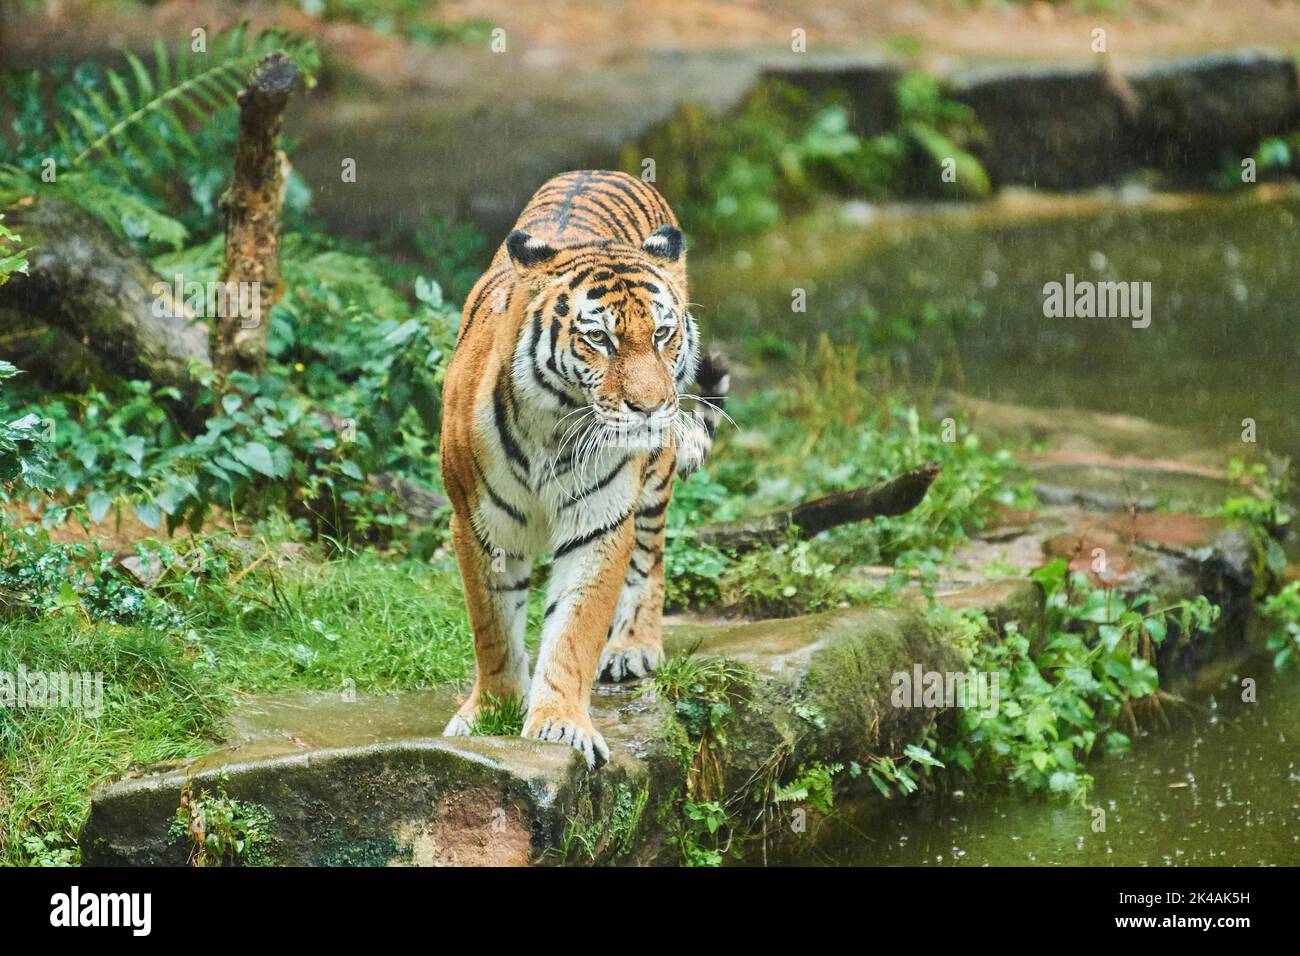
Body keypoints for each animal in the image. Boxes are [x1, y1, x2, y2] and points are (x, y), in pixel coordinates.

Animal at [439, 170, 728, 767]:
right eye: (600, 338)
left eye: (661, 334)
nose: (651, 407)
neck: (552, 425)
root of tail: (604, 170)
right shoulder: (478, 525)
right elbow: (492, 628)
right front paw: (490, 713)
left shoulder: (600, 524)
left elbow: (575, 629)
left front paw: (558, 724)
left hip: (654, 482)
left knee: (652, 558)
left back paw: (633, 647)